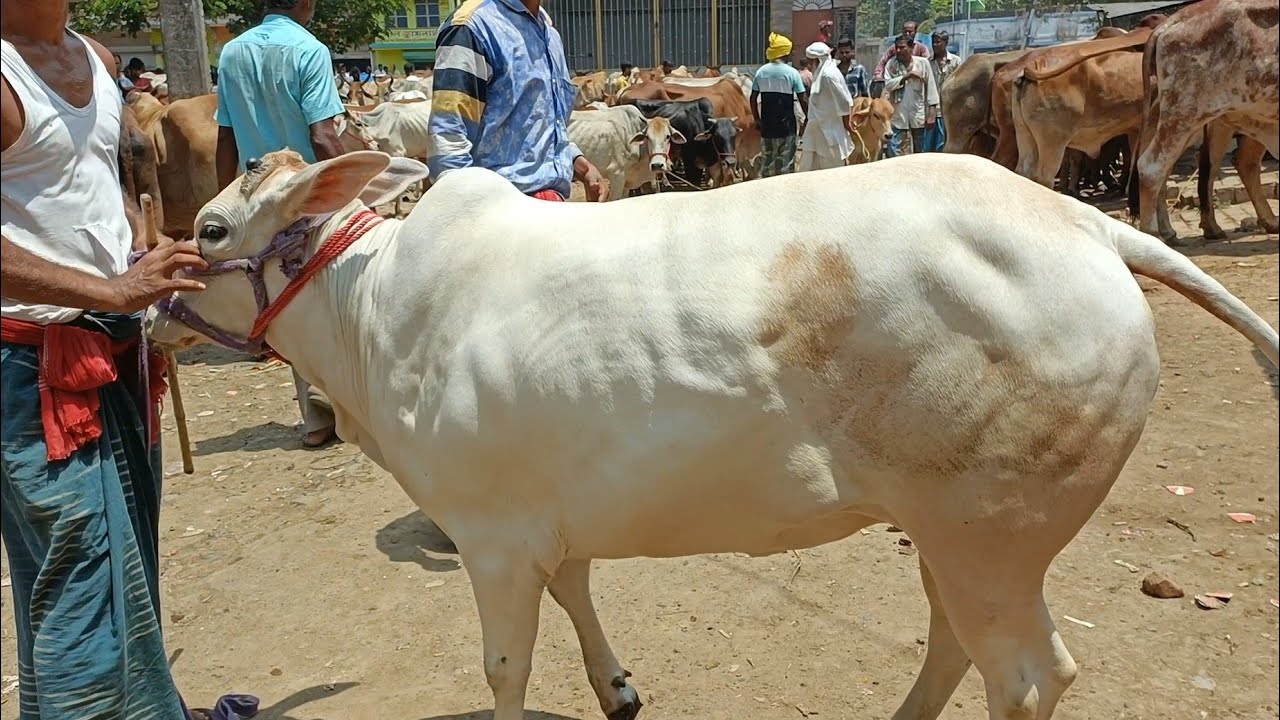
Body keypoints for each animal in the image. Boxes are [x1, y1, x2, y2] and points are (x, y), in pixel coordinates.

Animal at [149, 148, 1278, 720]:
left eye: (210, 231)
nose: (151, 305)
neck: (371, 309)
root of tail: (1086, 222)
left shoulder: (491, 541)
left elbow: (504, 669)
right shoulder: (551, 523)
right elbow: (580, 594)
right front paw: (617, 688)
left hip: (992, 537)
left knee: (1027, 677)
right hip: (954, 536)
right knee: (956, 642)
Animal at [1009, 27, 1155, 188]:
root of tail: (1036, 64)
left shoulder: (1134, 130)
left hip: (1024, 135)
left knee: (1023, 172)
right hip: (1053, 143)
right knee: (1044, 177)